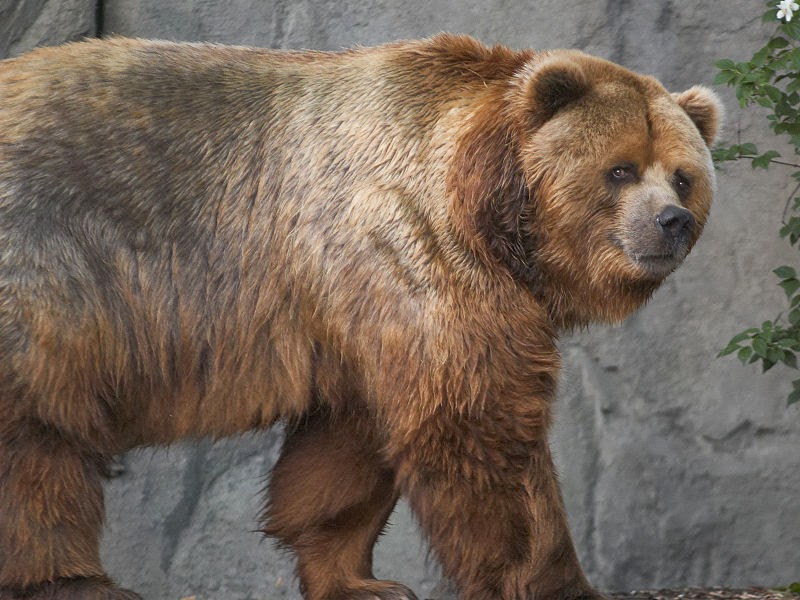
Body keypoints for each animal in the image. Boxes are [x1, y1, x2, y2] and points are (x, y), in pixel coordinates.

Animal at [0, 34, 720, 600]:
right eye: (620, 170)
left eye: (683, 177)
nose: (671, 222)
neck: (485, 208)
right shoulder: (406, 242)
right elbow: (476, 422)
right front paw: (556, 579)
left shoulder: (359, 310)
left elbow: (349, 447)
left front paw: (361, 581)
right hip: (47, 267)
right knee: (37, 438)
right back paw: (71, 581)